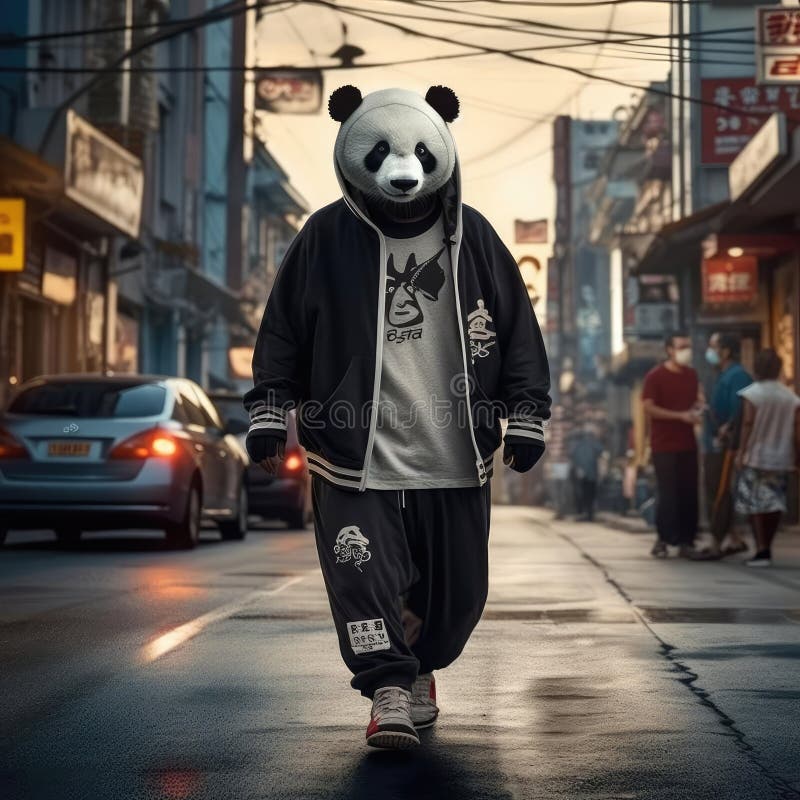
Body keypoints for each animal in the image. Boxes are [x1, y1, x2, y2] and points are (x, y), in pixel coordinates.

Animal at [244, 85, 551, 750]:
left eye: (425, 152)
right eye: (379, 150)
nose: (407, 183)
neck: (399, 224)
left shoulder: (484, 246)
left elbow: (513, 319)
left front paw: (527, 439)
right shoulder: (310, 249)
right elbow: (284, 329)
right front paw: (388, 702)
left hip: (453, 510)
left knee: (453, 588)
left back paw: (420, 683)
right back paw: (397, 696)